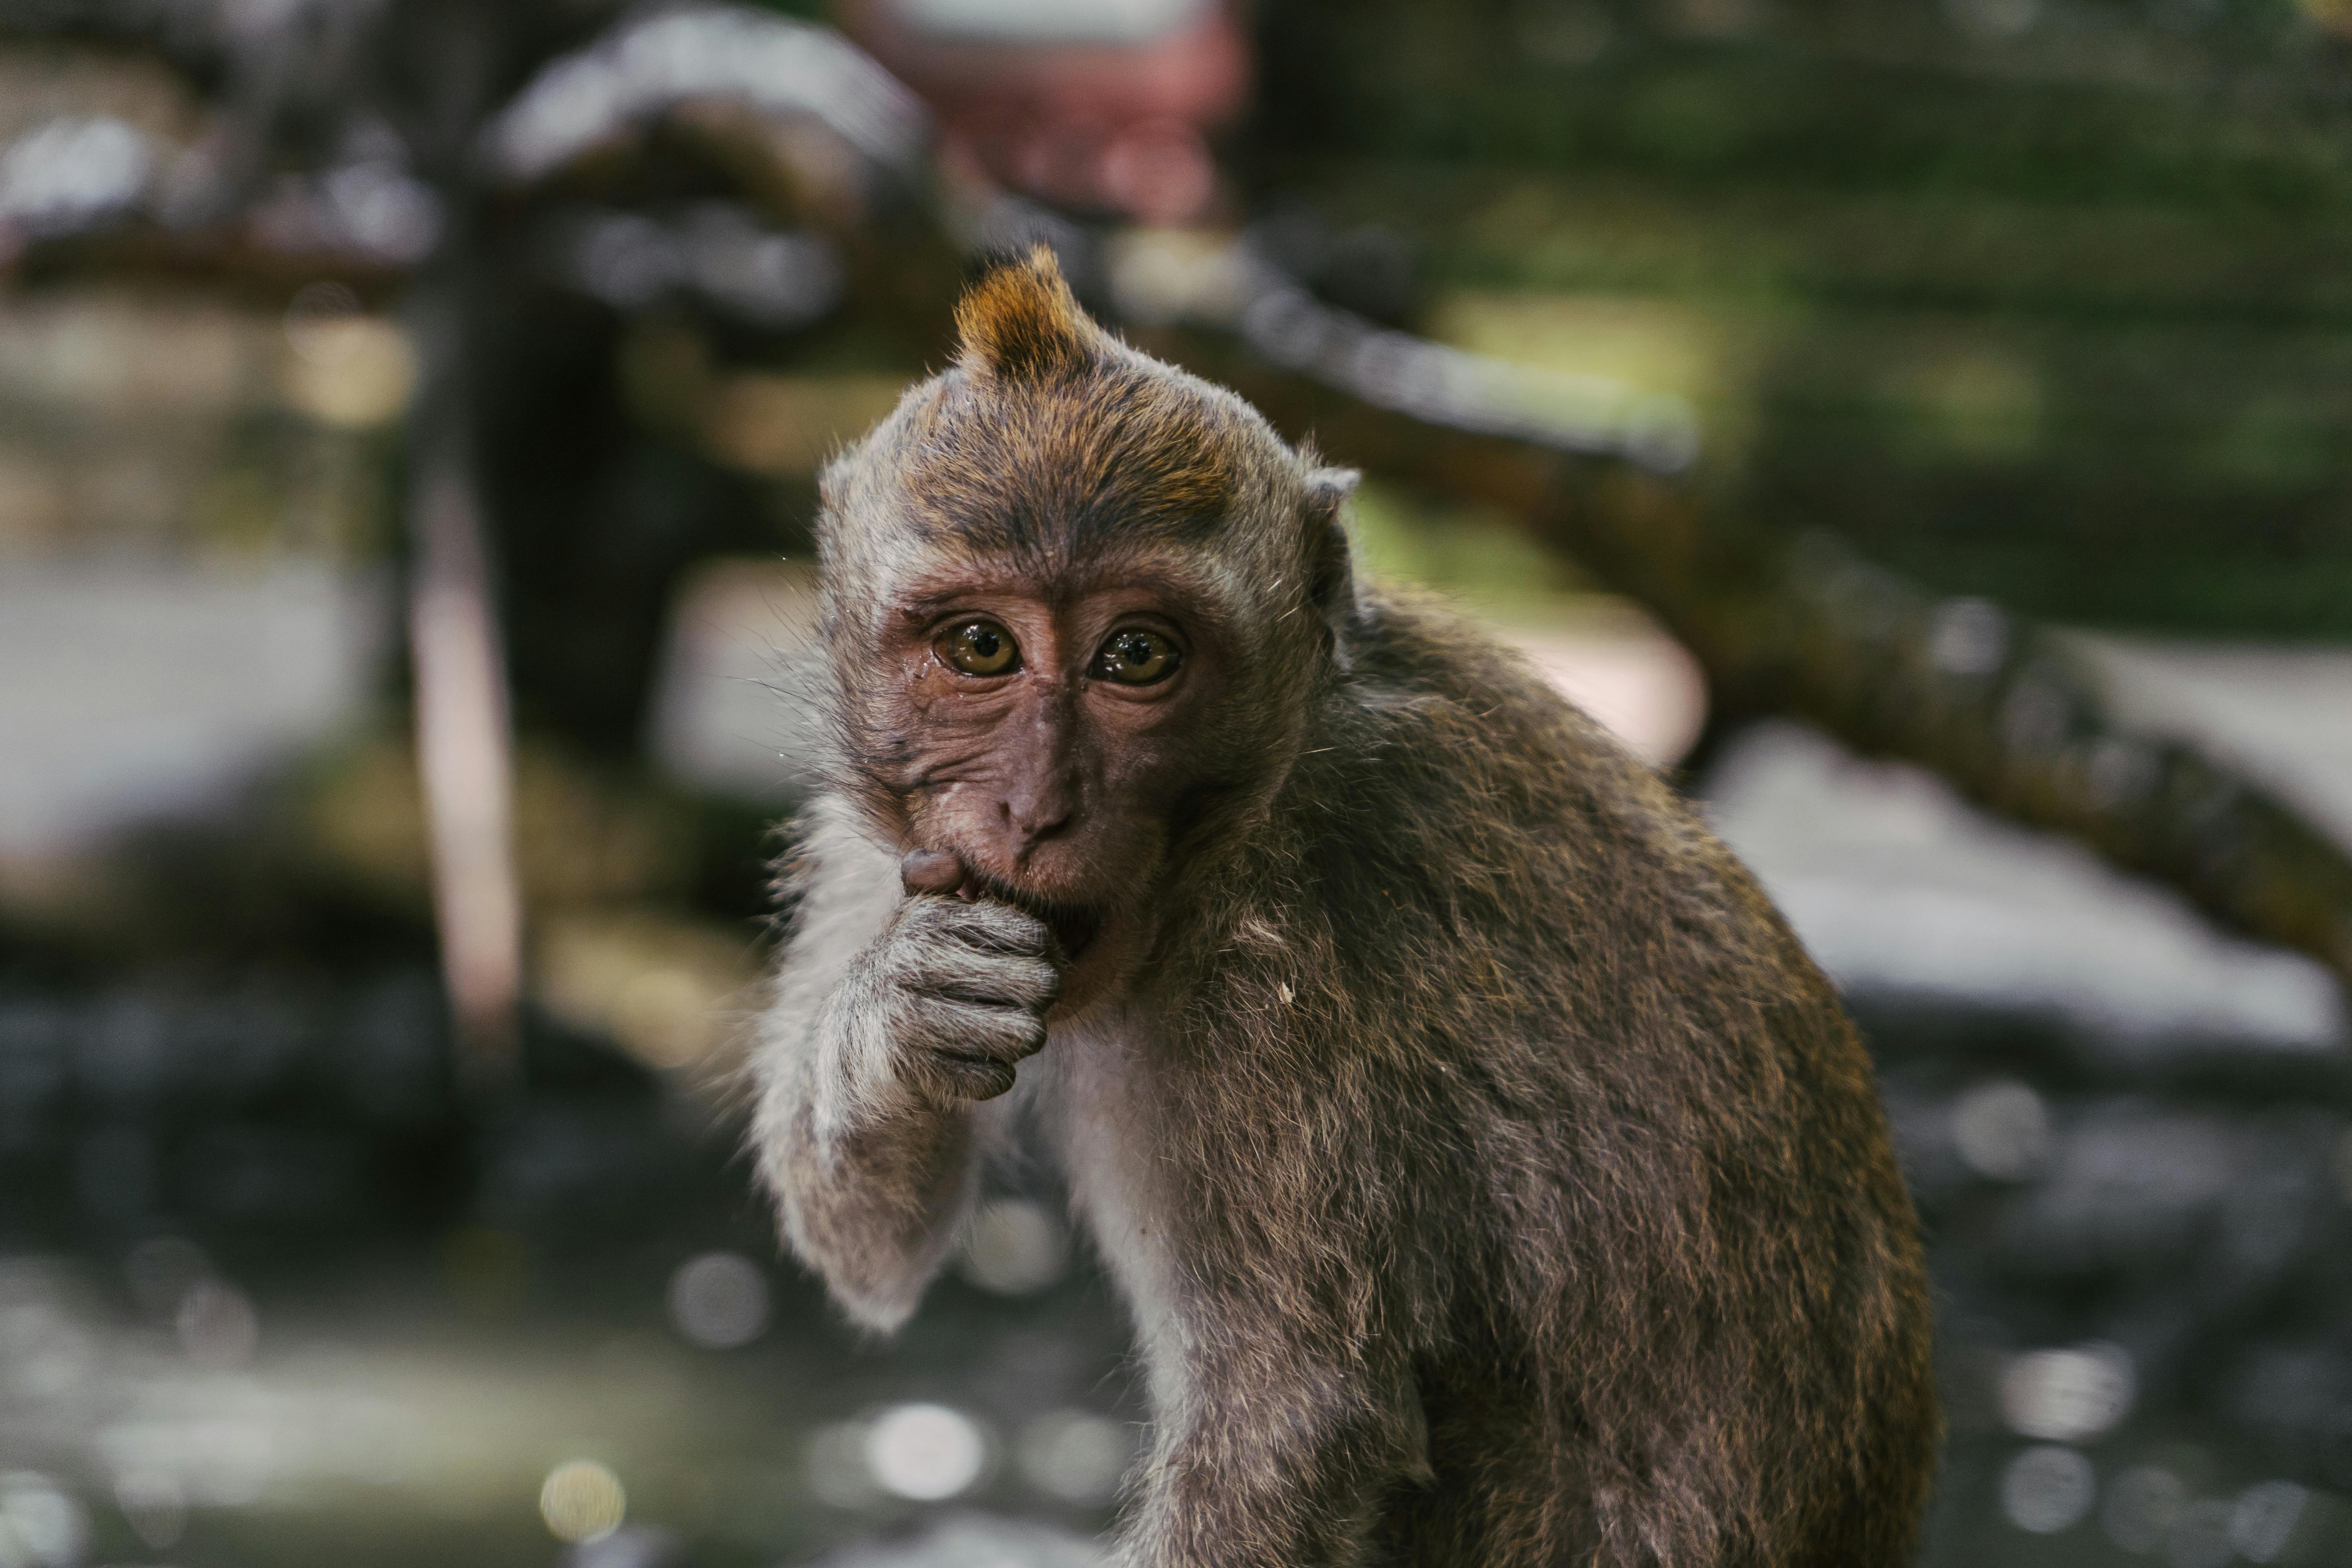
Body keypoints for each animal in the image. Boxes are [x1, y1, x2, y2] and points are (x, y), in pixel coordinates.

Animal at [750, 248, 1939, 1567]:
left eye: (1136, 657)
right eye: (979, 647)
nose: (1036, 808)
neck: (1251, 804)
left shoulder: (1282, 975)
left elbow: (1296, 1417)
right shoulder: (881, 846)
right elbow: (870, 1250)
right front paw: (896, 1022)